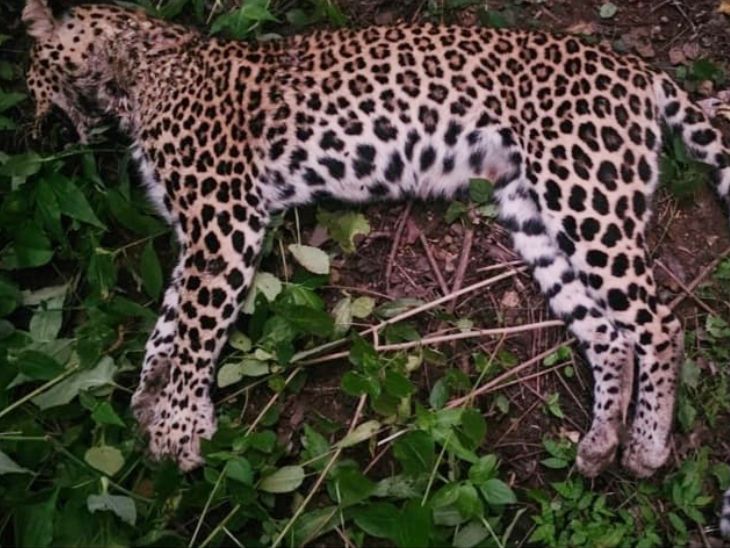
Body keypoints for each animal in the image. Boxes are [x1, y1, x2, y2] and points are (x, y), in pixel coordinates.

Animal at [22, 0, 730, 533]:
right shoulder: (196, 231)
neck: (139, 65)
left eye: (30, 80)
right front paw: (153, 399)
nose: (33, 137)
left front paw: (179, 430)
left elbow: (197, 325)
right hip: (534, 213)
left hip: (586, 190)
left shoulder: (224, 221)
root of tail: (634, 67)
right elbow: (169, 322)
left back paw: (645, 446)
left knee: (660, 323)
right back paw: (601, 441)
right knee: (610, 332)